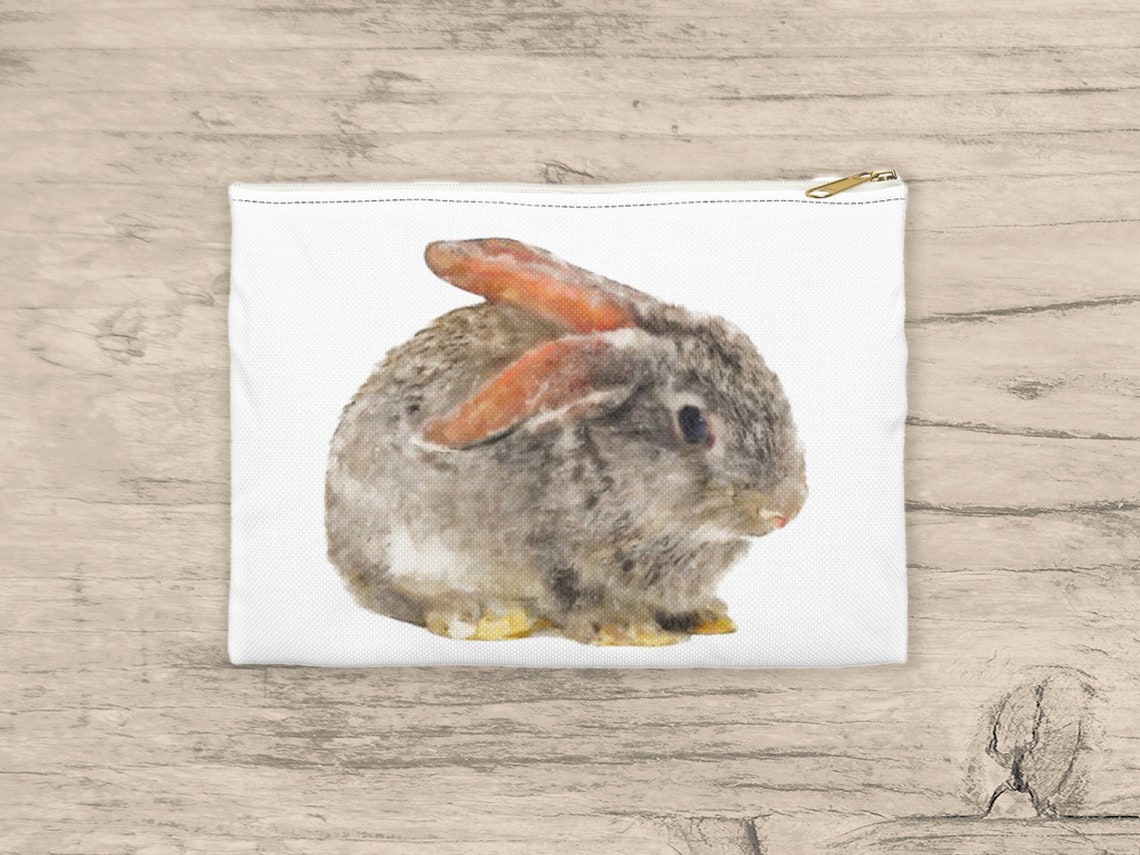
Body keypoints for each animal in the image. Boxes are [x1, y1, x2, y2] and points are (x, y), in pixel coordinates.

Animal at [325, 238, 806, 646]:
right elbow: (574, 597)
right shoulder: (550, 556)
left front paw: (706, 615)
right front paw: (627, 629)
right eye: (693, 423)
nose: (785, 509)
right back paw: (474, 614)